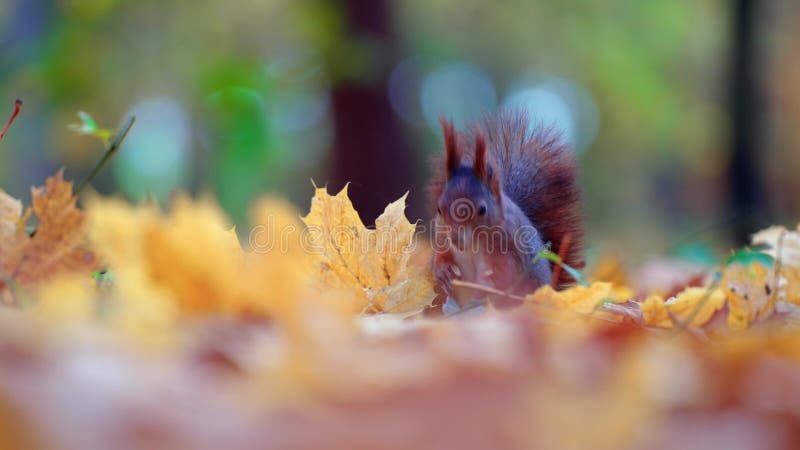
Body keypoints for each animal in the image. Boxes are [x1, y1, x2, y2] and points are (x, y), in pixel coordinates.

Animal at [430, 109, 583, 307]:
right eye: (439, 209)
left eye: (482, 210)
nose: (457, 240)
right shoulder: (442, 236)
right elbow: (441, 256)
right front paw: (443, 271)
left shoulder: (506, 247)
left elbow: (503, 275)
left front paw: (483, 286)